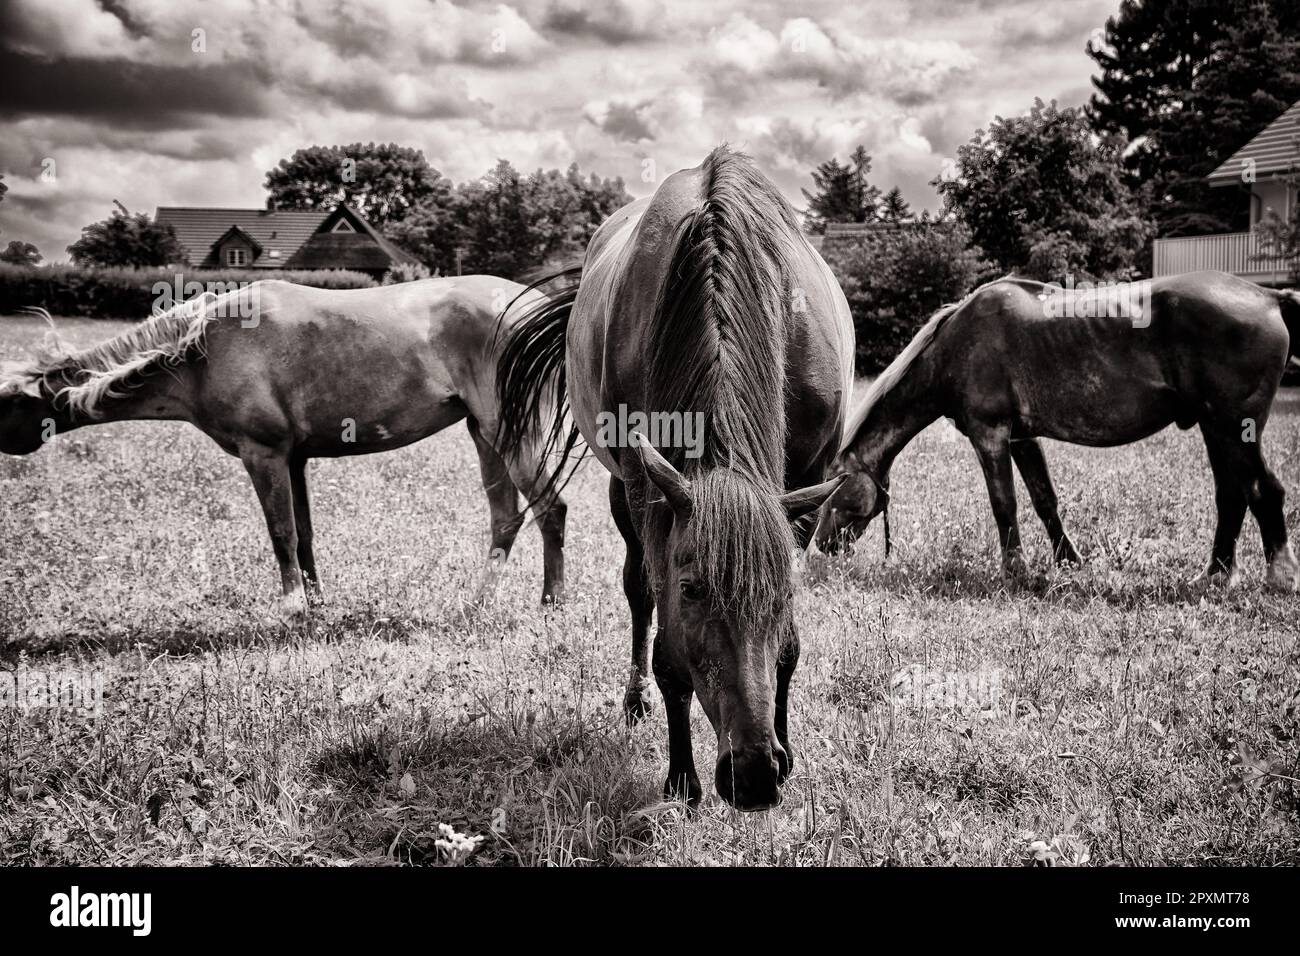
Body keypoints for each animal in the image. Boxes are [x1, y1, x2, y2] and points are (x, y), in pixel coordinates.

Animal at [0, 276, 568, 615]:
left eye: (6, 402)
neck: (204, 348)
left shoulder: (265, 455)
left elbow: (280, 534)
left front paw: (292, 607)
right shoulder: (295, 460)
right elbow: (305, 533)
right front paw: (315, 604)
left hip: (506, 434)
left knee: (549, 509)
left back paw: (551, 602)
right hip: (485, 435)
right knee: (506, 517)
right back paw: (477, 603)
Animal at [496, 146, 853, 811]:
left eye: (786, 593)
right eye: (691, 589)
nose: (754, 772)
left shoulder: (808, 488)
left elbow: (789, 647)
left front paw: (790, 756)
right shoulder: (649, 488)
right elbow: (667, 645)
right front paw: (681, 776)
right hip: (621, 491)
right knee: (637, 591)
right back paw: (635, 699)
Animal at [815, 271, 1300, 590]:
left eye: (833, 494)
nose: (821, 547)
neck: (956, 346)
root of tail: (1268, 295)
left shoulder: (991, 435)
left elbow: (1005, 504)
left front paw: (1015, 573)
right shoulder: (1021, 438)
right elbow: (1044, 499)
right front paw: (1068, 561)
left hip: (1234, 429)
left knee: (1264, 491)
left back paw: (1280, 577)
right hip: (1215, 429)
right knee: (1232, 496)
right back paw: (1215, 575)